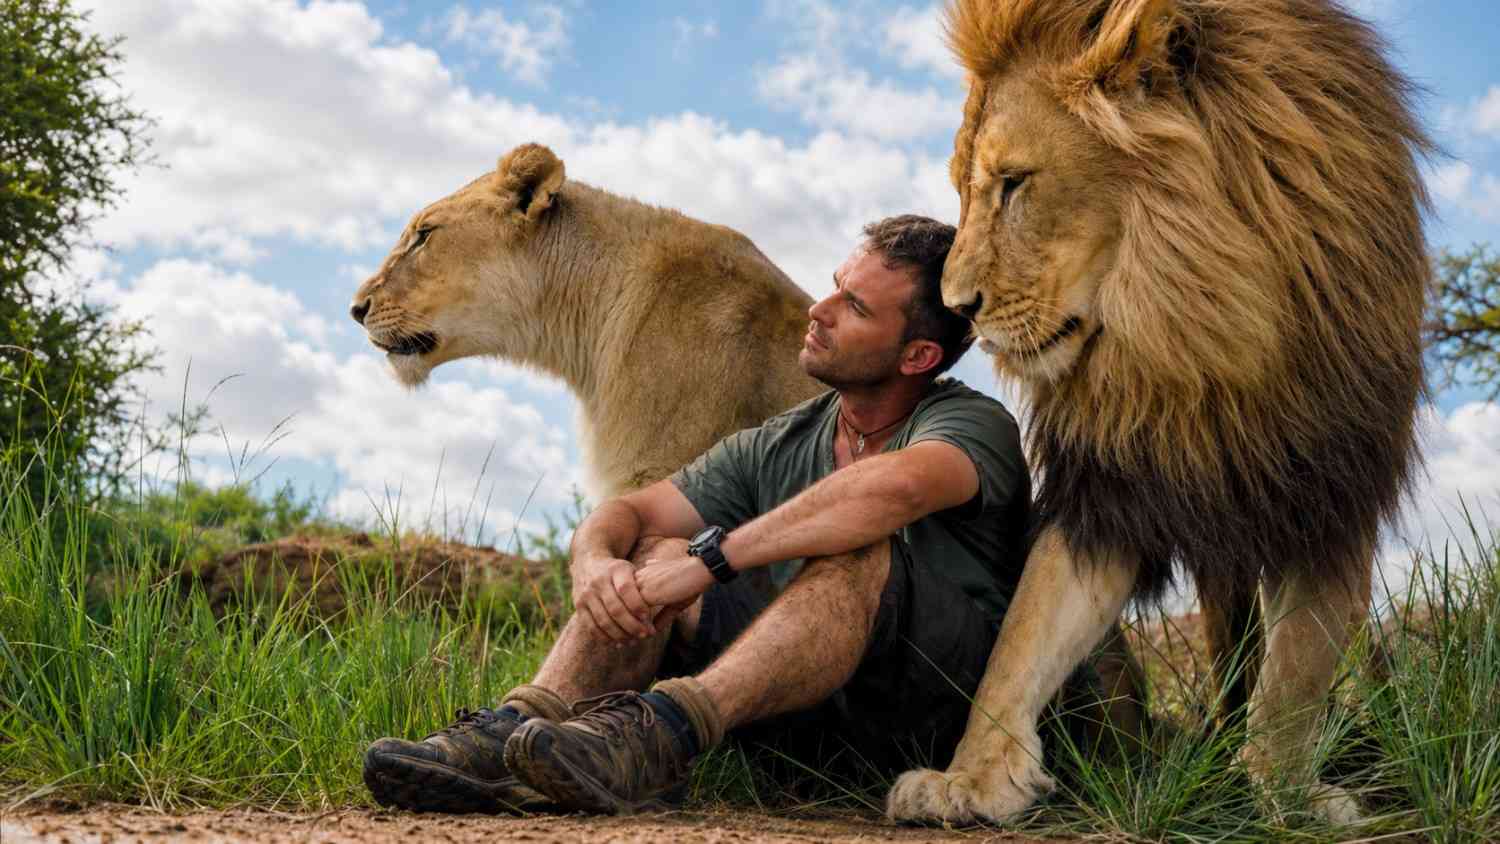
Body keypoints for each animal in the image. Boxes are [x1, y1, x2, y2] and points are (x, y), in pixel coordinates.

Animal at [886, 0, 1430, 827]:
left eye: (1013, 184)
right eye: (964, 189)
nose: (957, 308)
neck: (1194, 333)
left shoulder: (1334, 481)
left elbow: (1301, 663)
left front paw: (1281, 792)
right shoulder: (1114, 483)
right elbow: (1027, 632)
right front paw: (971, 779)